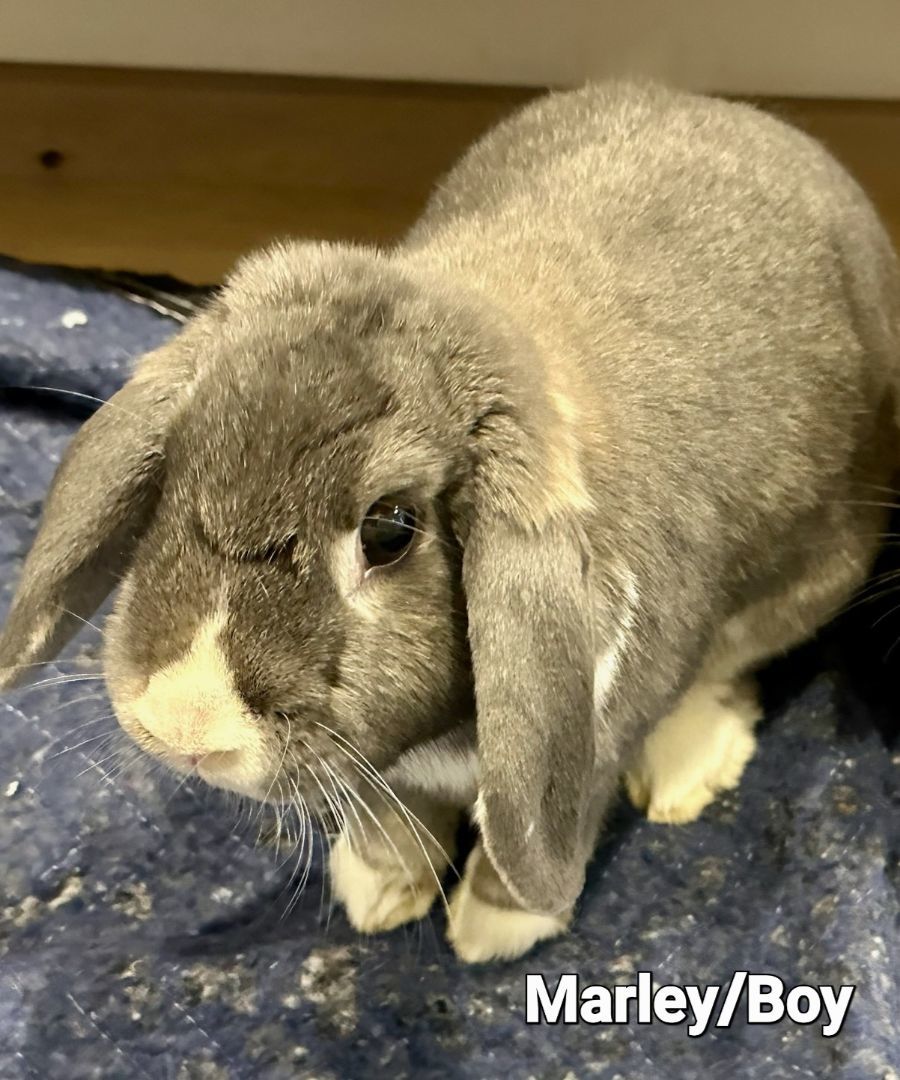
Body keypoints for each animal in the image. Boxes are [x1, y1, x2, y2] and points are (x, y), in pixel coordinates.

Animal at [2, 81, 899, 963]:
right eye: (172, 472)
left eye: (389, 529)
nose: (182, 726)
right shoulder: (378, 767)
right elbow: (388, 821)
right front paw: (377, 891)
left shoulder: (591, 734)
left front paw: (491, 929)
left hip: (812, 576)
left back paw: (685, 768)